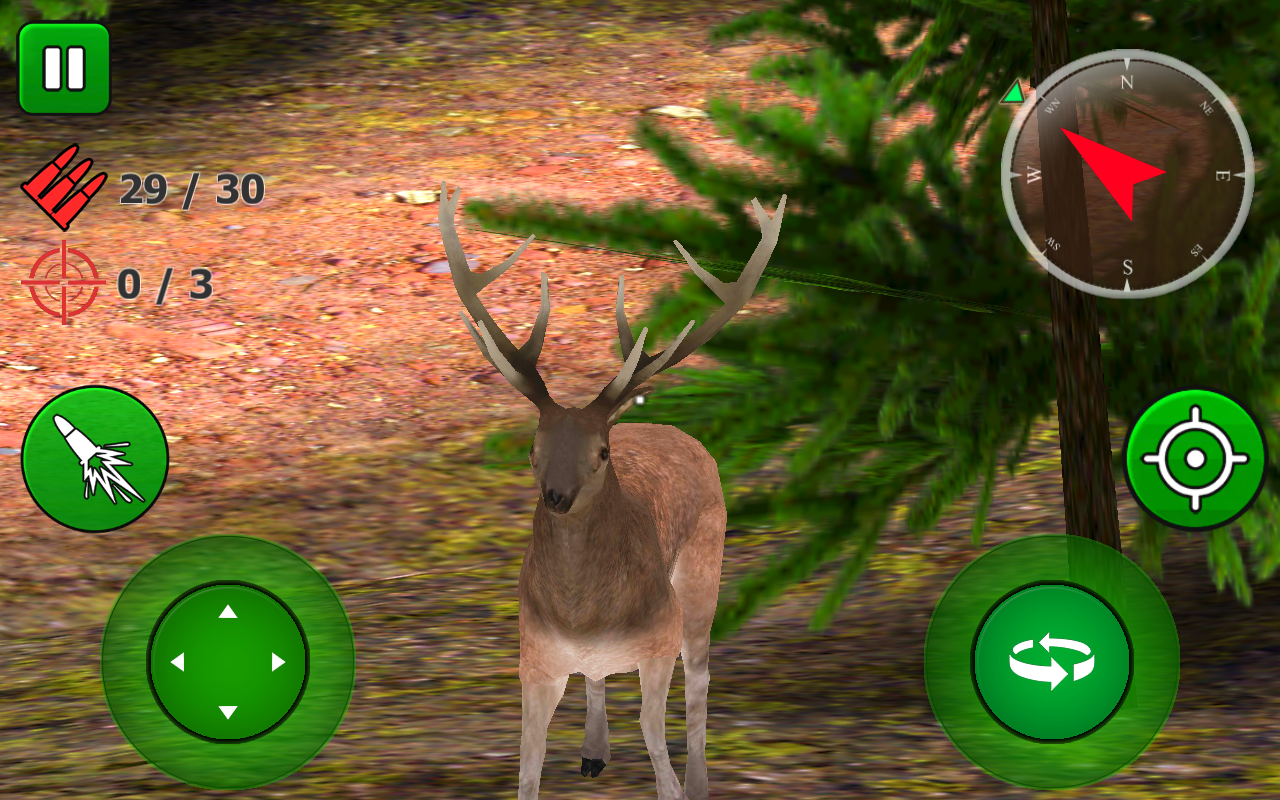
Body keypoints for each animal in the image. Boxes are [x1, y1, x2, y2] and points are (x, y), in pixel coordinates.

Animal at [439, 182, 787, 800]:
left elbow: (655, 740)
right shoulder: (534, 654)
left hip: (703, 571)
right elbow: (527, 762)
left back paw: (699, 778)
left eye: (602, 453)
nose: (557, 496)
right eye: (532, 450)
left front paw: (679, 786)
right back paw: (594, 752)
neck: (584, 620)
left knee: (701, 676)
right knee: (599, 678)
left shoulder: (659, 641)